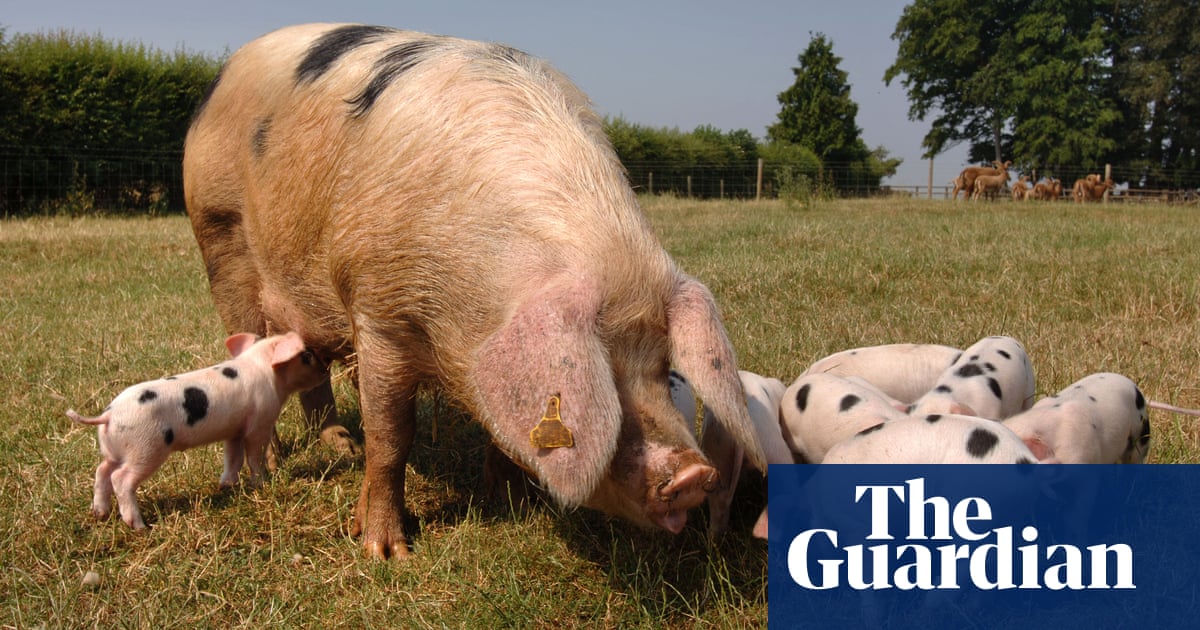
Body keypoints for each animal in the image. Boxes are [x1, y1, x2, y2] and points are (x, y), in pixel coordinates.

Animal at [67, 332, 327, 529]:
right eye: (306, 356)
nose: (326, 370)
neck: (263, 367)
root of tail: (109, 415)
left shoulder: (233, 429)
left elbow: (233, 457)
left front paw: (227, 486)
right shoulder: (259, 423)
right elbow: (254, 455)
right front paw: (261, 483)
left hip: (114, 450)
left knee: (102, 471)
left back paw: (100, 514)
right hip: (146, 448)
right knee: (120, 478)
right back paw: (140, 527)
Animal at [183, 23, 765, 559]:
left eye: (665, 364)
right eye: (603, 368)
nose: (693, 475)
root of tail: (217, 80)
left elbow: (505, 430)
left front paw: (512, 506)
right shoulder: (378, 311)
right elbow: (392, 436)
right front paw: (386, 553)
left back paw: (341, 447)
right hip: (218, 235)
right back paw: (273, 466)